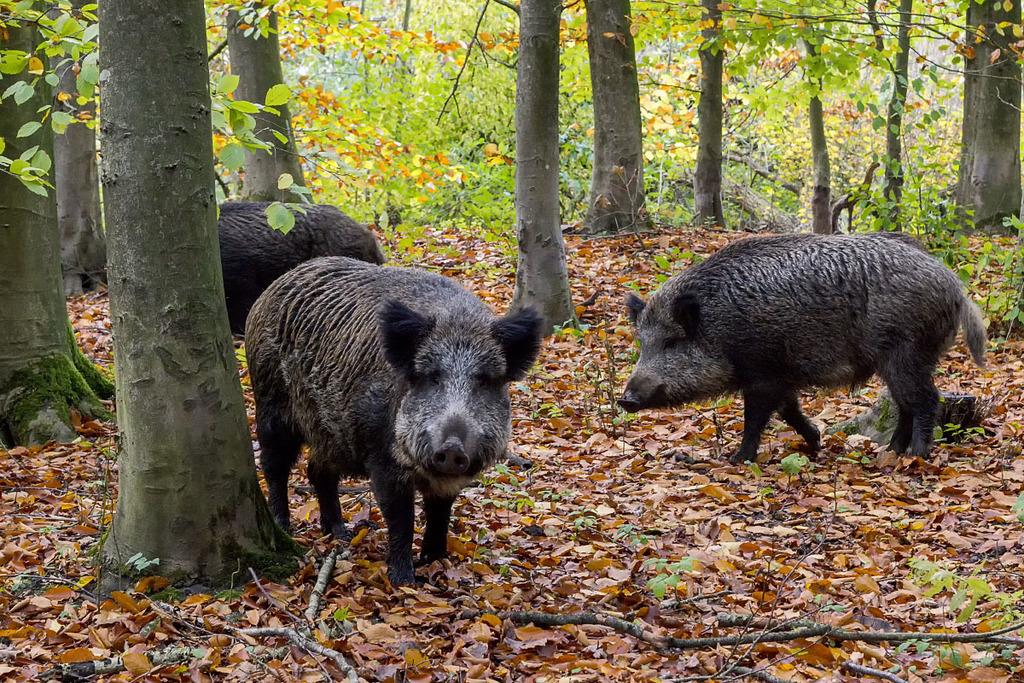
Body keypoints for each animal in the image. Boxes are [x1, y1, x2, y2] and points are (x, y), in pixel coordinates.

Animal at [245, 257, 543, 584]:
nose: (452, 448)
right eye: (432, 377)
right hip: (271, 403)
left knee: (317, 472)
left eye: (484, 380)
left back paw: (340, 535)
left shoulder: (449, 481)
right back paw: (284, 526)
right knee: (275, 466)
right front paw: (404, 581)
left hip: (330, 432)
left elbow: (440, 513)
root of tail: (271, 290)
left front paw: (436, 562)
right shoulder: (383, 459)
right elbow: (402, 519)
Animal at [618, 233, 987, 464]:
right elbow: (789, 411)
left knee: (926, 400)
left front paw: (738, 459)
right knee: (905, 403)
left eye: (671, 342)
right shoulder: (780, 377)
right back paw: (892, 451)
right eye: (642, 343)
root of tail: (955, 286)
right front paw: (816, 440)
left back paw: (916, 456)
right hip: (896, 360)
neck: (720, 326)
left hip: (908, 352)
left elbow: (755, 418)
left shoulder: (763, 373)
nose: (625, 399)